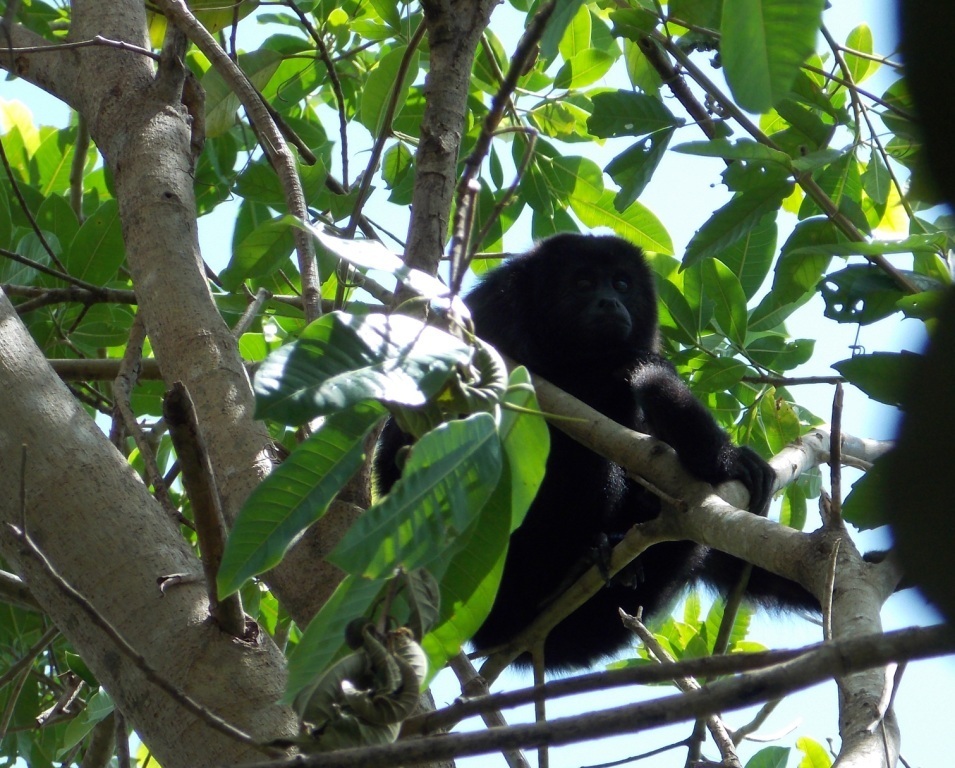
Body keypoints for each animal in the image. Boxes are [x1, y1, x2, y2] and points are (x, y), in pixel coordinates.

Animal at [375, 233, 818, 671]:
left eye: (622, 284)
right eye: (583, 283)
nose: (609, 302)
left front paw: (720, 458)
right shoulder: (495, 314)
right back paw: (577, 566)